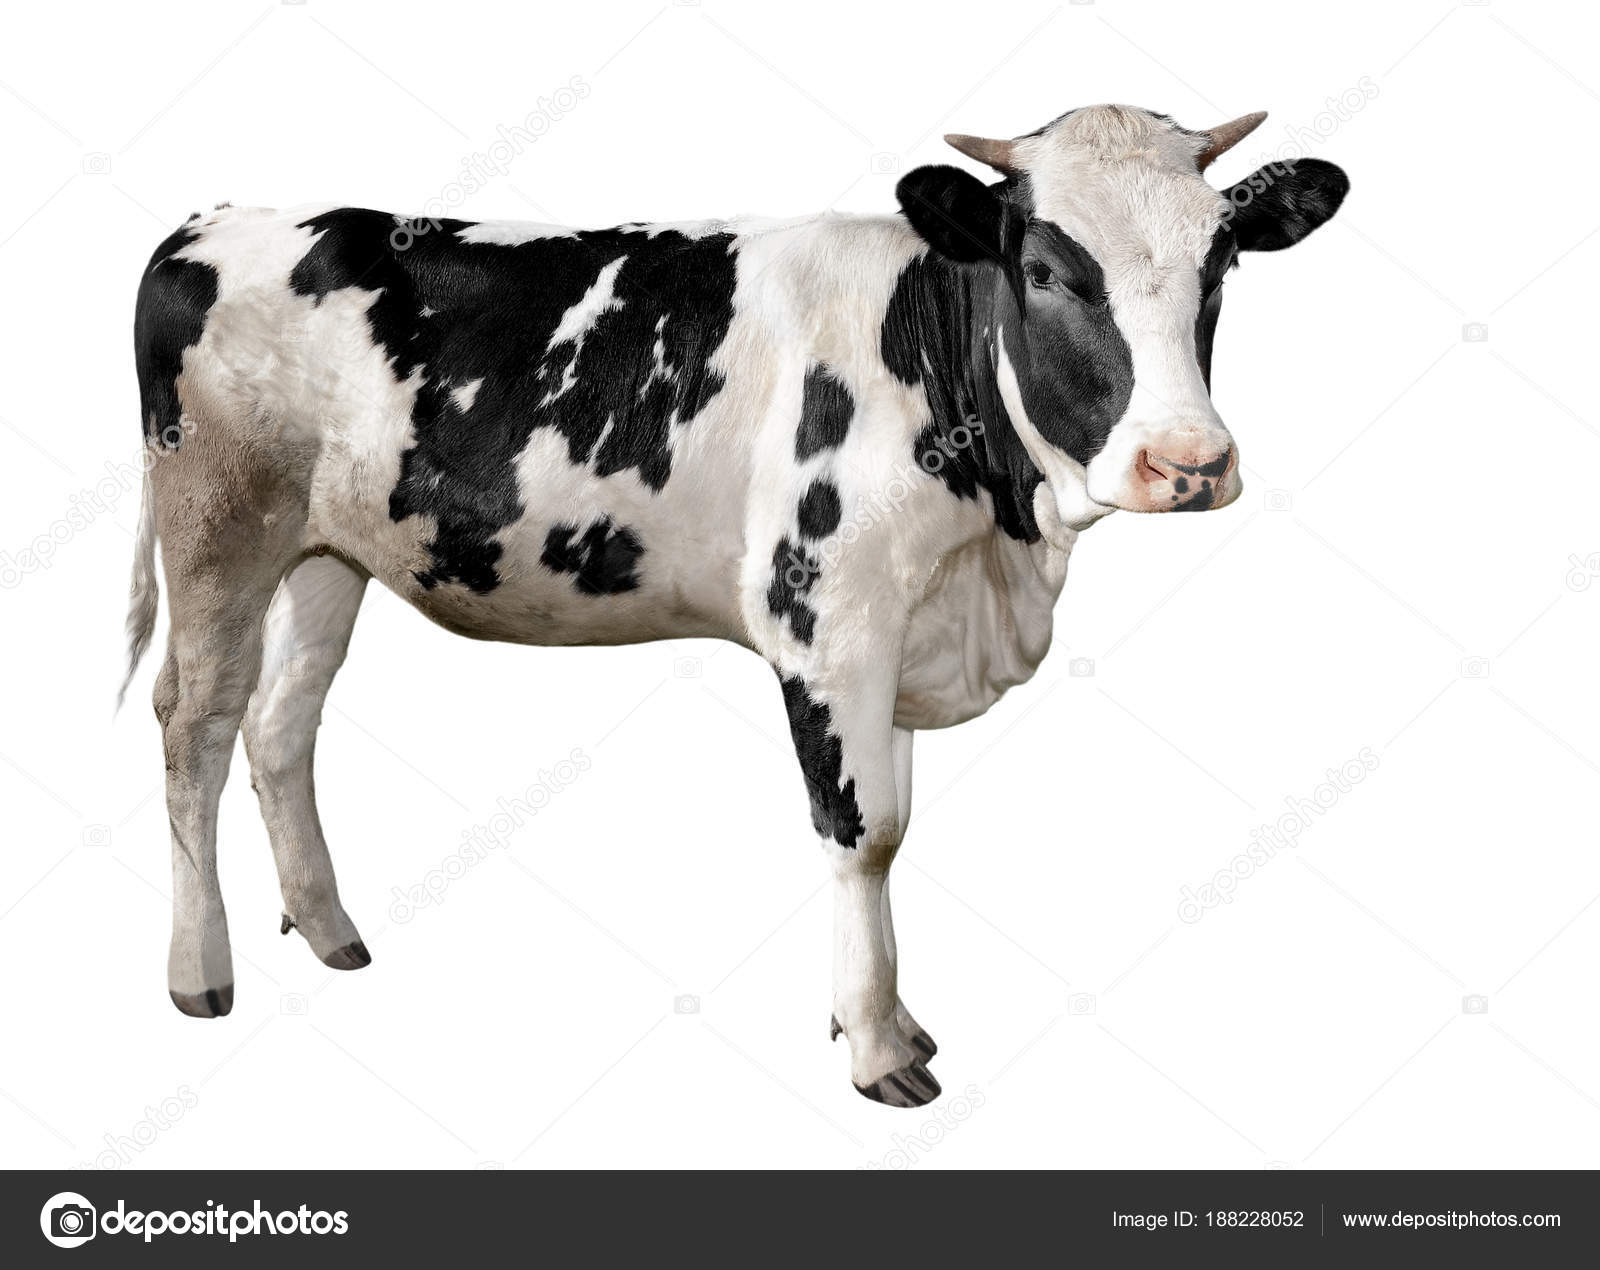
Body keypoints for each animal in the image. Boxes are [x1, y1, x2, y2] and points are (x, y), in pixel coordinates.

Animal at [121, 104, 1346, 1107]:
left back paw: (329, 930)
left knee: (282, 724)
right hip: (218, 527)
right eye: (1044, 271)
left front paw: (884, 1016)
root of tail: (214, 218)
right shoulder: (828, 624)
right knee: (195, 726)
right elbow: (865, 832)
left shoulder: (901, 633)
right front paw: (877, 1050)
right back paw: (198, 973)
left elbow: (898, 820)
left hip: (325, 551)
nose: (1188, 464)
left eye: (1222, 263)